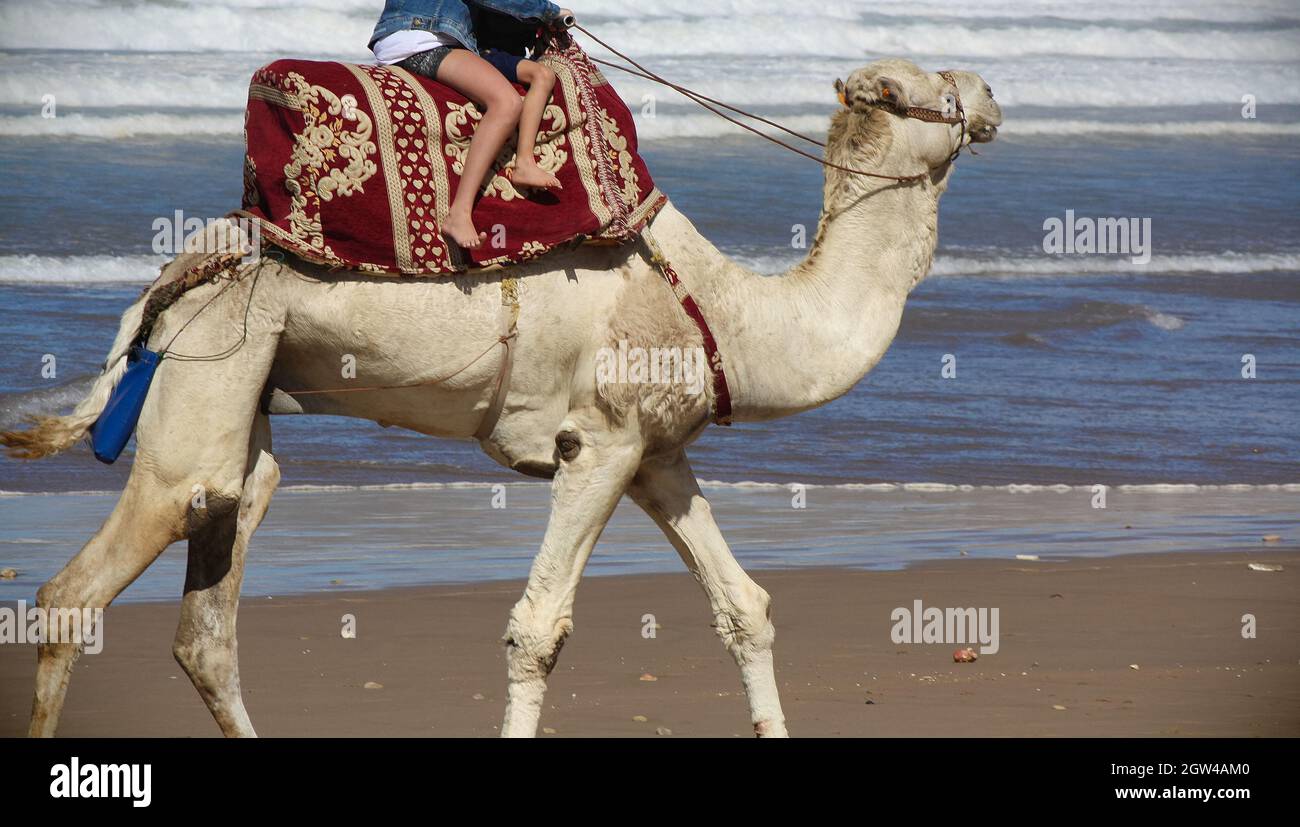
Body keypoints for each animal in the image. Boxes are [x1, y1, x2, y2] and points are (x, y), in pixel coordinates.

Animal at [3, 58, 1001, 738]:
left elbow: (743, 610)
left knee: (207, 618)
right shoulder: (598, 443)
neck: (729, 309)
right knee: (75, 590)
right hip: (208, 377)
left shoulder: (660, 454)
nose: (989, 94)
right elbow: (537, 629)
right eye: (914, 86)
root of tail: (175, 274)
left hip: (242, 404)